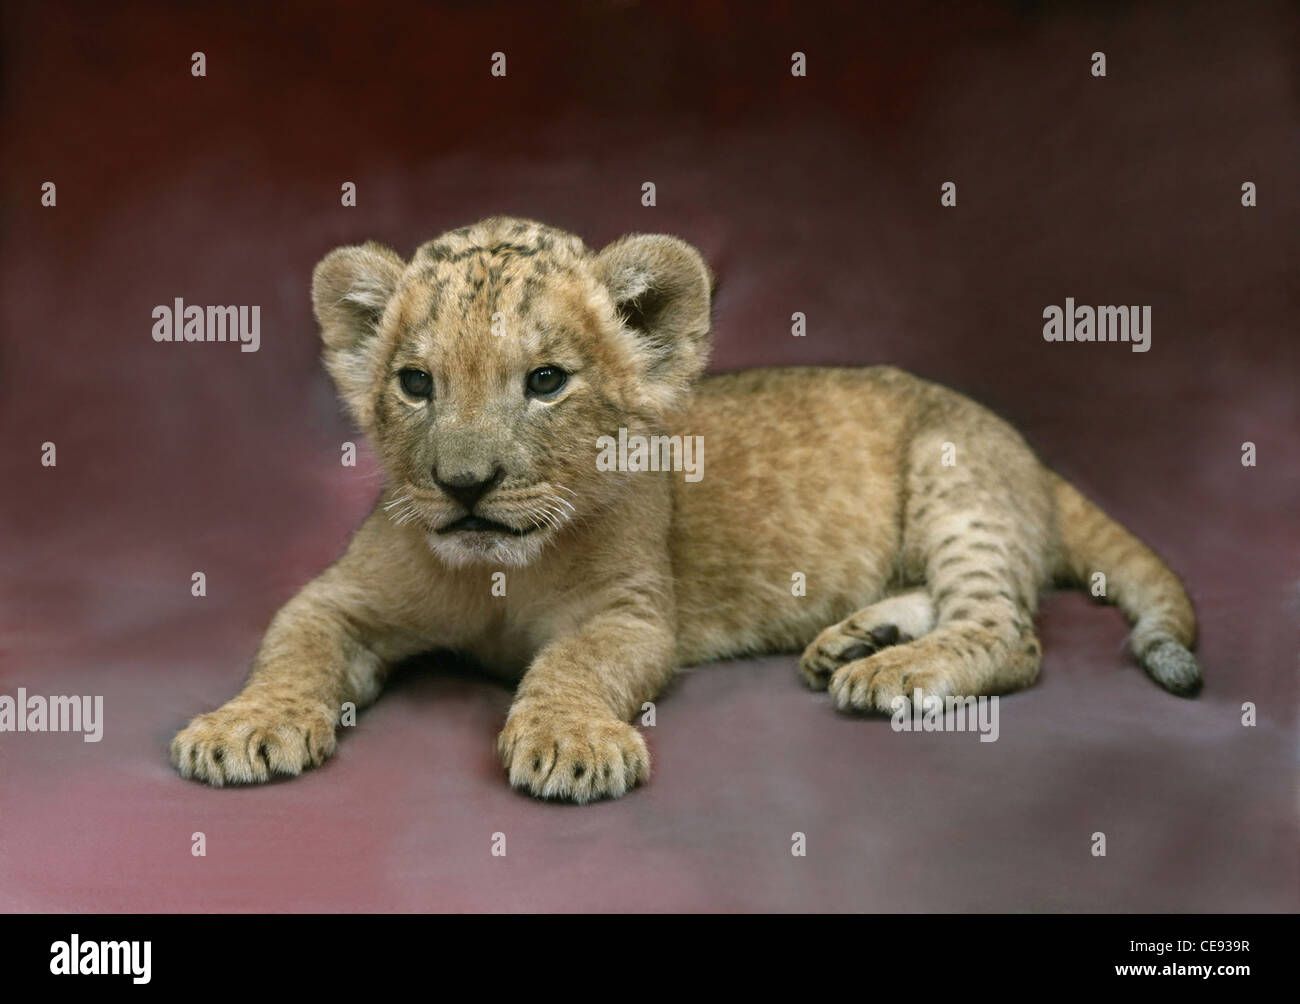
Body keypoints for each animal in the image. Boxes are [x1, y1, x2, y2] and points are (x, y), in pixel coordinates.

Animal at [170, 216, 1200, 802]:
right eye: (416, 383)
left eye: (546, 381)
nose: (463, 484)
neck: (500, 576)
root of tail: (1032, 452)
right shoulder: (340, 597)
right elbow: (292, 650)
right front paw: (242, 728)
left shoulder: (631, 615)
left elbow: (574, 664)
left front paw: (569, 742)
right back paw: (852, 642)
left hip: (957, 485)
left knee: (1008, 631)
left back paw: (891, 672)